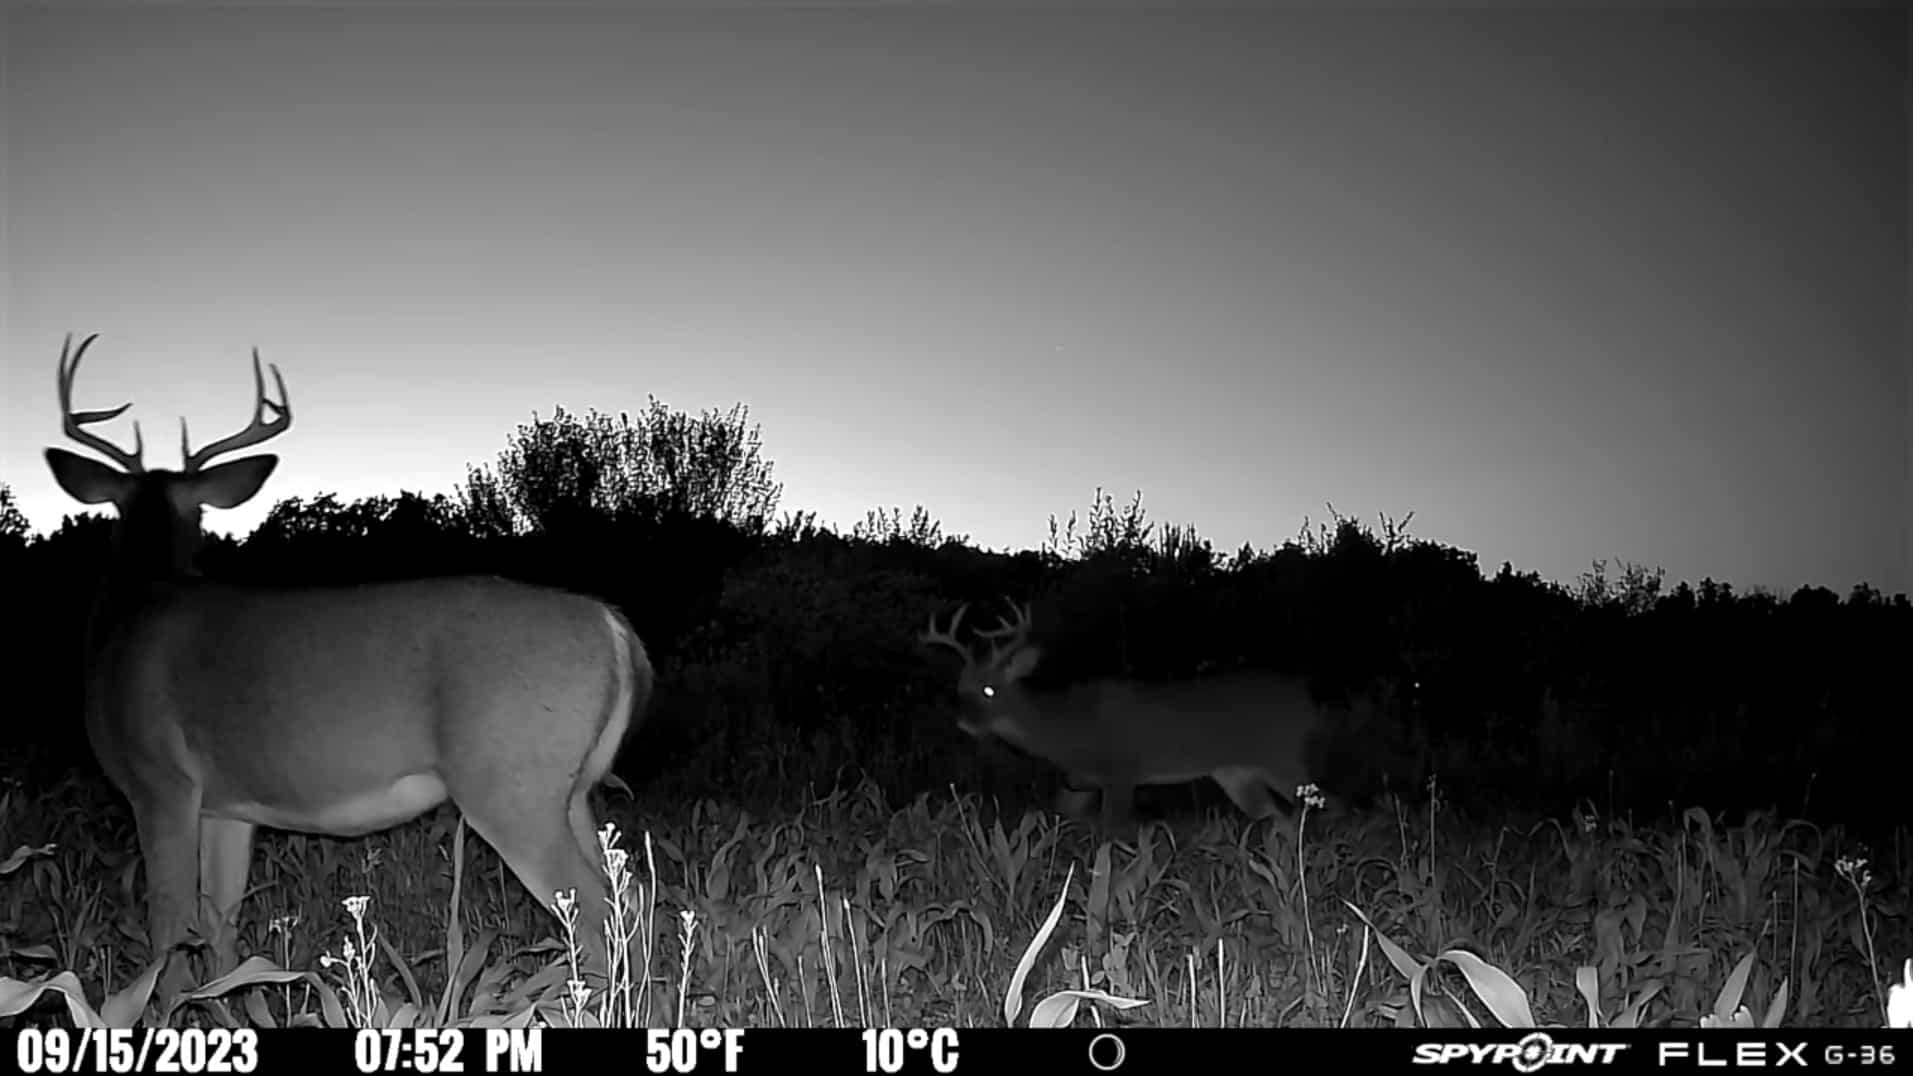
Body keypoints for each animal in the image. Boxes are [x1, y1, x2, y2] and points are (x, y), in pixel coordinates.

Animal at [41, 332, 652, 997]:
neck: (130, 614)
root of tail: (612, 624)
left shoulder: (160, 782)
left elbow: (167, 937)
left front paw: (166, 1009)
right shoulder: (225, 805)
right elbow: (219, 931)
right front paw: (224, 1002)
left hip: (511, 784)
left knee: (591, 912)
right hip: (572, 790)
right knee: (627, 900)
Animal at [920, 598, 1356, 832]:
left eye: (990, 690)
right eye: (960, 687)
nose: (963, 721)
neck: (1067, 728)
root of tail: (1309, 702)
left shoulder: (1121, 771)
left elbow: (1110, 834)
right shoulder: (1079, 781)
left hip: (1283, 757)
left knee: (1334, 805)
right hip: (1237, 773)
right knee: (1279, 818)